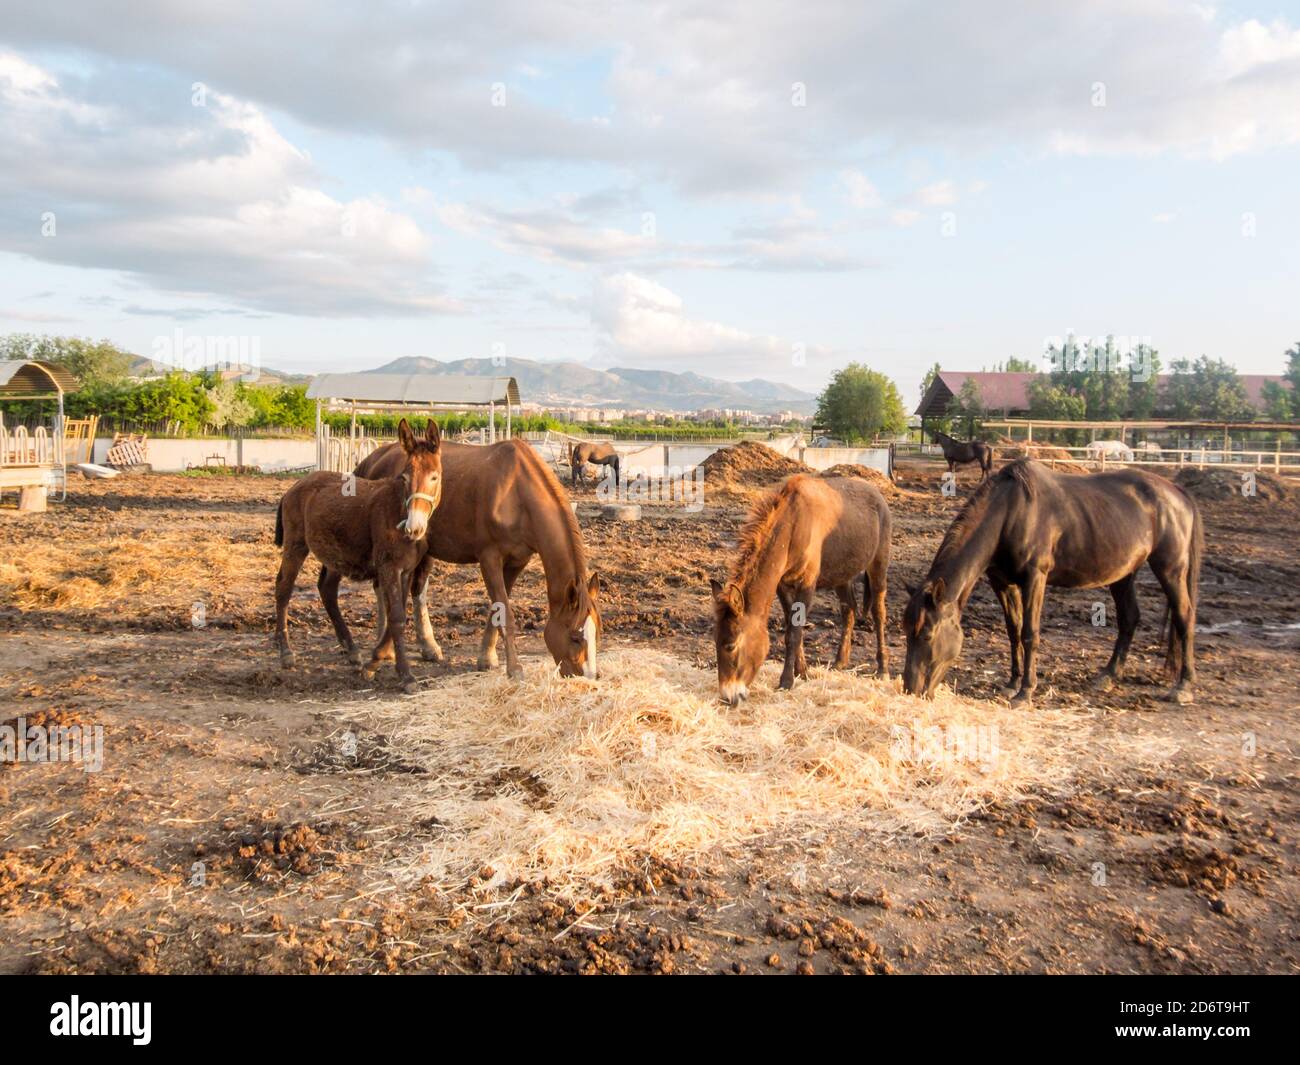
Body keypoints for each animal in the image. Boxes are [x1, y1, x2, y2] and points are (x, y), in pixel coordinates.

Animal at [273, 418, 443, 693]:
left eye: (434, 476)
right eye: (405, 477)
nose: (414, 528)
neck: (397, 509)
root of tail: (296, 486)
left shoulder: (406, 570)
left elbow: (399, 612)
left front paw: (377, 661)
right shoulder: (389, 567)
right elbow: (396, 617)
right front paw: (405, 675)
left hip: (335, 552)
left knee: (327, 589)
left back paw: (351, 648)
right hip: (296, 545)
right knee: (284, 588)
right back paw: (285, 651)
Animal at [355, 437, 601, 680]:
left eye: (597, 632)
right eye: (575, 636)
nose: (589, 675)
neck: (516, 493)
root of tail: (376, 457)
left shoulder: (517, 561)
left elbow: (496, 608)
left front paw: (487, 658)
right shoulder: (489, 558)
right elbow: (505, 612)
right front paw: (514, 668)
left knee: (417, 591)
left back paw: (426, 646)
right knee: (383, 590)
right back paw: (383, 646)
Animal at [709, 474, 891, 706]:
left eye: (730, 645)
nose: (728, 697)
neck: (793, 525)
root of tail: (877, 495)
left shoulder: (806, 584)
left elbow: (794, 633)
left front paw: (786, 681)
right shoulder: (783, 585)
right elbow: (792, 628)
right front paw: (802, 672)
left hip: (878, 564)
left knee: (878, 613)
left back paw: (882, 669)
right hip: (843, 575)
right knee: (848, 609)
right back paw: (840, 662)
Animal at [902, 459, 1202, 707]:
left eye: (927, 635)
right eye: (907, 633)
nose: (911, 690)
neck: (1010, 511)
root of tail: (1177, 492)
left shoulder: (1035, 578)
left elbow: (1029, 633)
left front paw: (1025, 692)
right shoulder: (1002, 582)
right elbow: (1013, 631)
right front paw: (1012, 684)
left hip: (1170, 568)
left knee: (1184, 616)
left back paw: (1184, 686)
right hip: (1123, 574)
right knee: (1129, 618)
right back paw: (1108, 675)